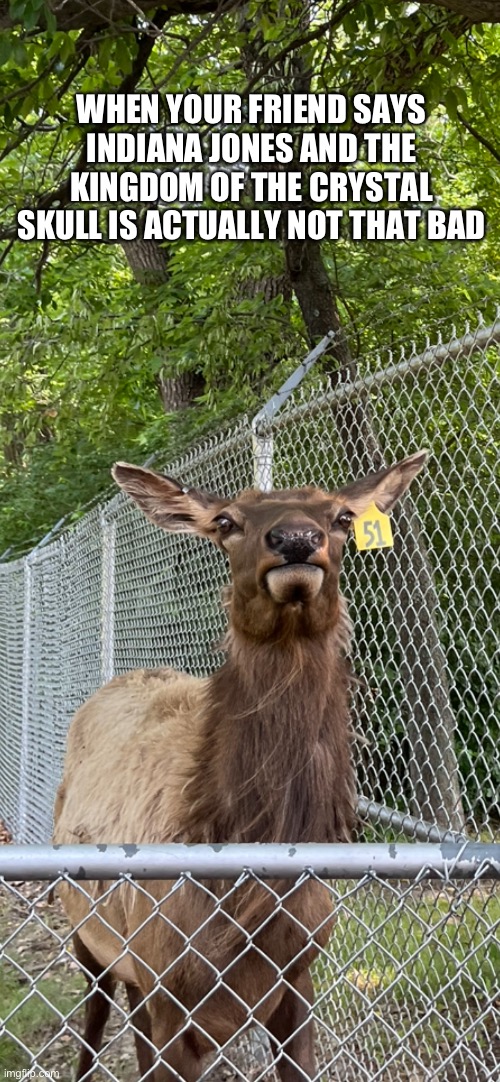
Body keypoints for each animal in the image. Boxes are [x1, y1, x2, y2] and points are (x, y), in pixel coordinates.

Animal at [53, 449, 427, 1082]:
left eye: (343, 517)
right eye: (226, 521)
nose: (296, 538)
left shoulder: (297, 980)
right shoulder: (168, 989)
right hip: (88, 935)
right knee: (94, 1022)